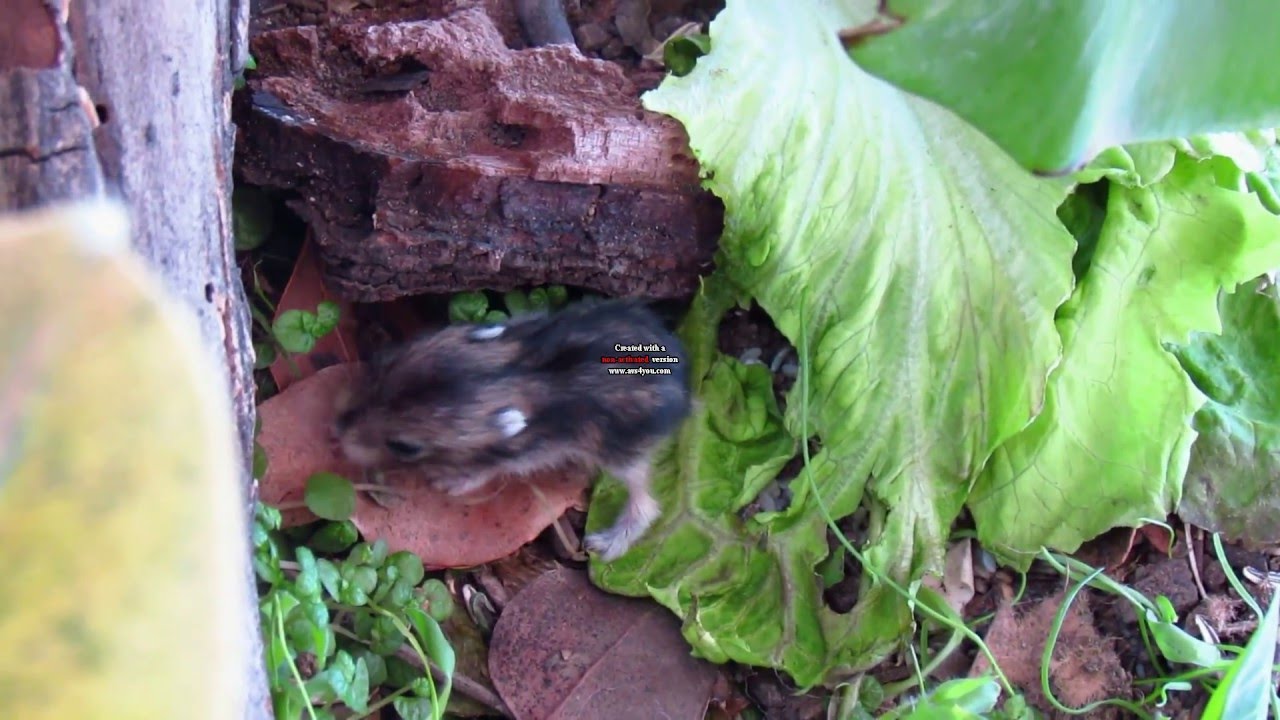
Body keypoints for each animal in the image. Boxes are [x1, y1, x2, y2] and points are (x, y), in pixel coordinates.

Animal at [332, 298, 692, 561]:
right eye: (386, 368)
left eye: (405, 447)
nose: (336, 432)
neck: (516, 373)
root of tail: (685, 385)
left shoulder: (525, 453)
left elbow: (485, 469)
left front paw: (445, 482)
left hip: (621, 452)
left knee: (645, 503)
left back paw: (604, 544)